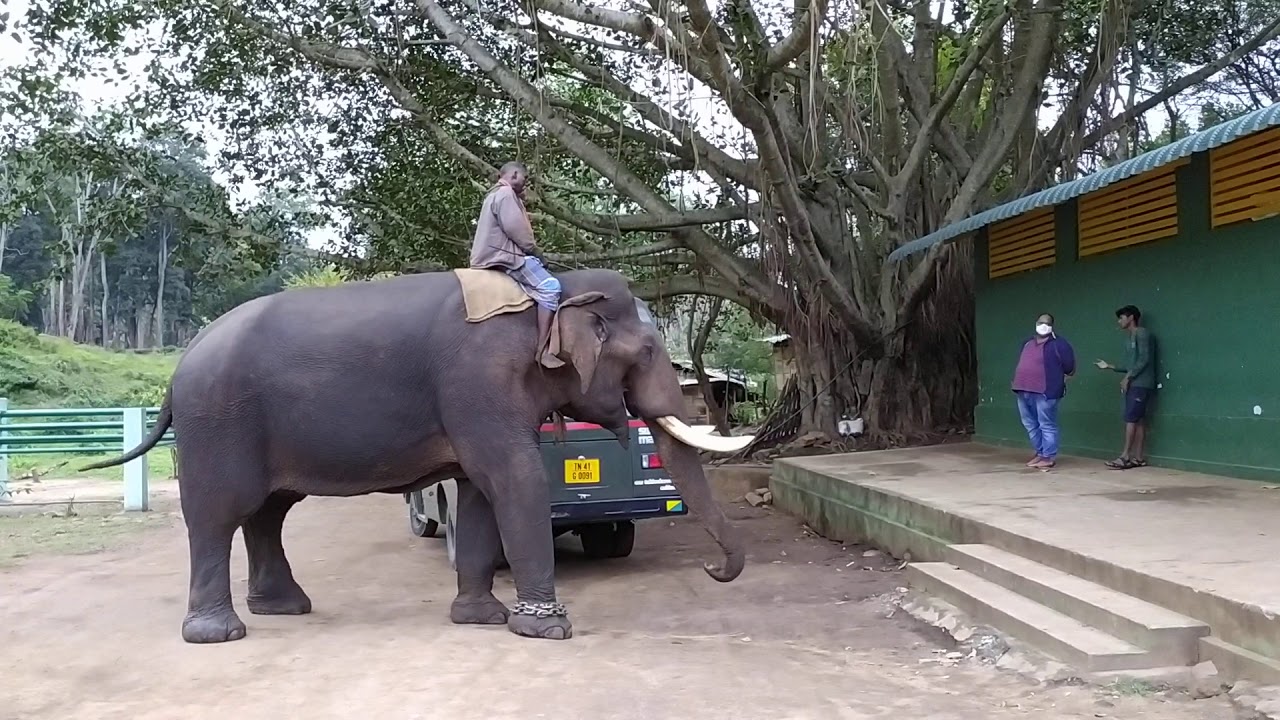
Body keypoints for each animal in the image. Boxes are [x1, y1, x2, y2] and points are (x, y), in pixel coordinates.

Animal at [82, 267, 752, 644]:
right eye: (646, 354)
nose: (712, 570)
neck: (553, 289)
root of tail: (178, 370)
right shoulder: (478, 381)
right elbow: (514, 480)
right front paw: (547, 628)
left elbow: (480, 492)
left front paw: (482, 620)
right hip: (217, 422)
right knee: (220, 513)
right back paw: (219, 634)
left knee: (268, 511)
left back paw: (285, 608)